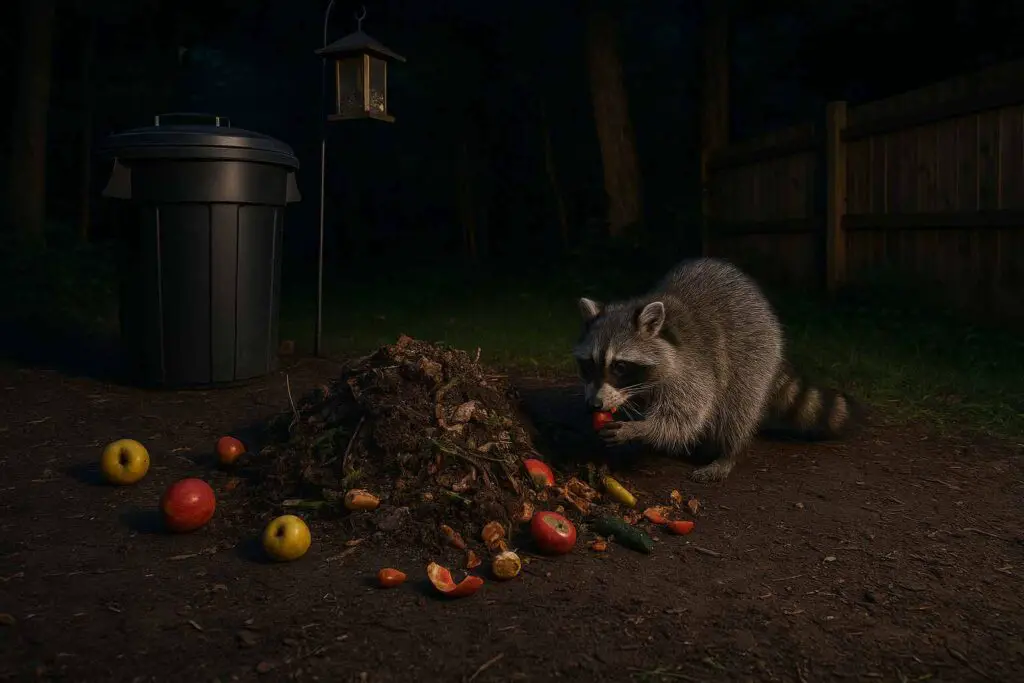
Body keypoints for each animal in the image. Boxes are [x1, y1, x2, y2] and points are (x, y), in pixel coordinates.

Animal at [572, 257, 859, 483]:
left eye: (620, 366)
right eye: (589, 364)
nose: (593, 405)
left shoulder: (693, 369)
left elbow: (686, 416)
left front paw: (641, 429)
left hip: (755, 354)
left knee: (738, 407)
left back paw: (729, 453)